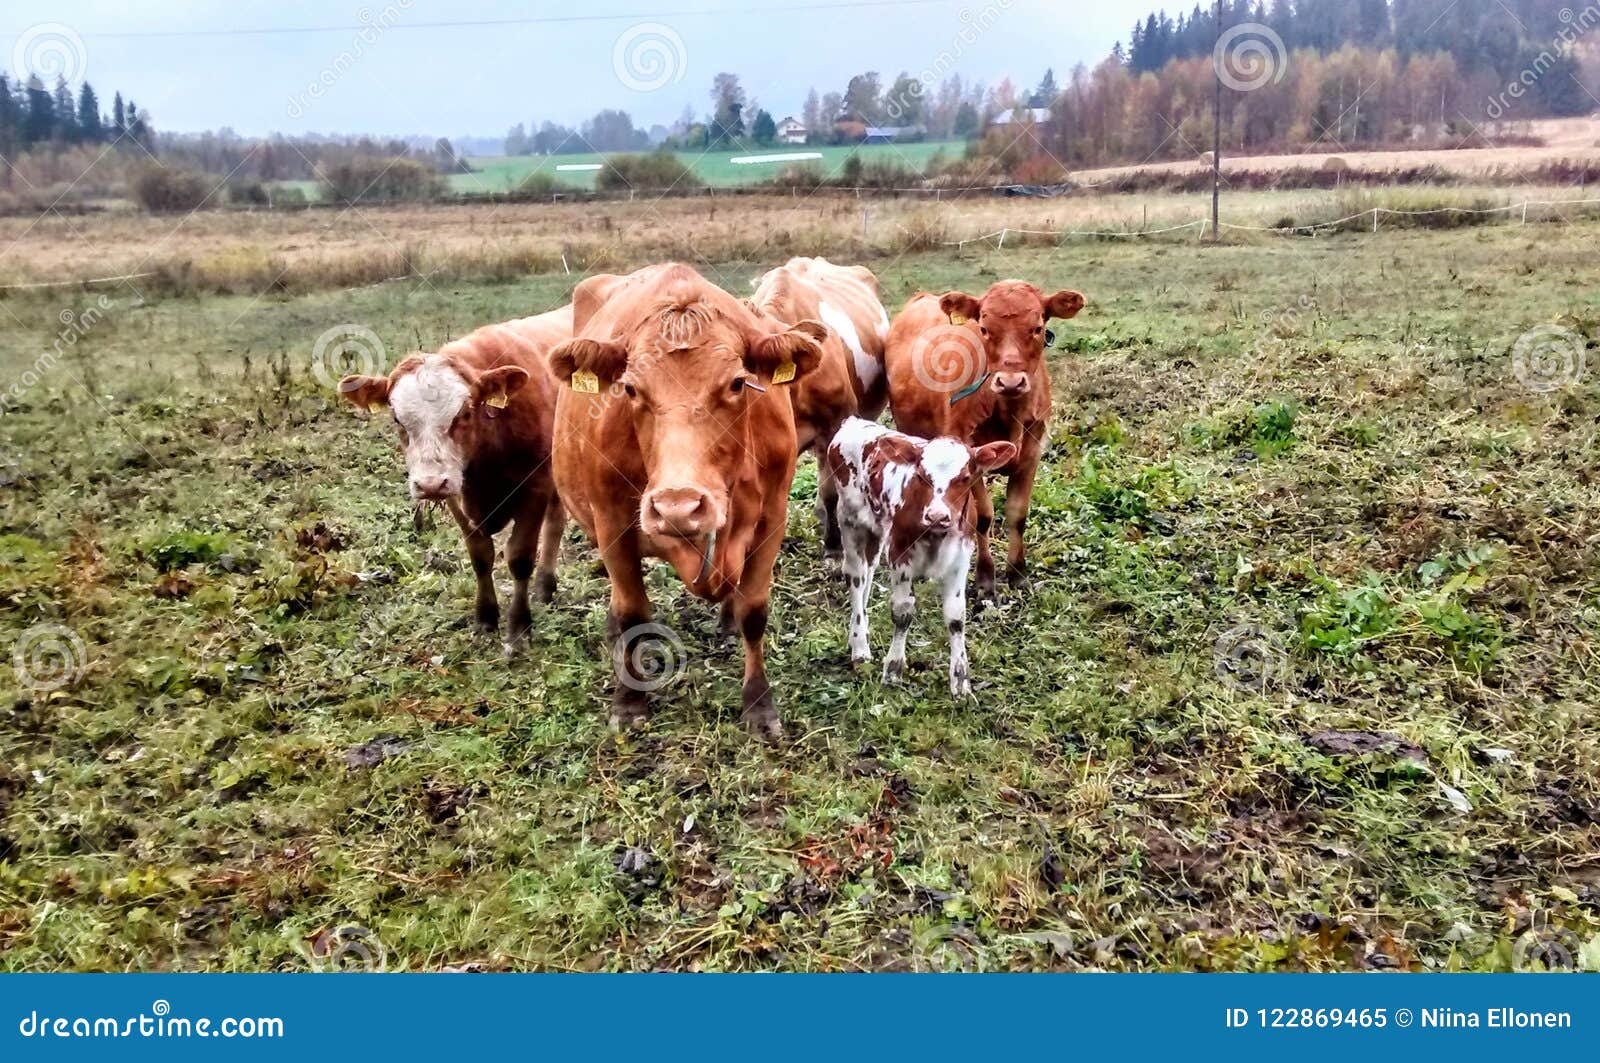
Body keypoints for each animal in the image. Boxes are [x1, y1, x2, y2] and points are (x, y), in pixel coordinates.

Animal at [337, 305, 572, 652]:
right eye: (397, 419)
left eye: (464, 413)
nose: (429, 484)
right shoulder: (455, 496)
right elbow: (480, 556)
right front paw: (485, 619)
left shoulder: (535, 488)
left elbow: (519, 558)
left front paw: (519, 628)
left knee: (555, 523)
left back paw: (544, 585)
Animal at [547, 263, 827, 738]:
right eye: (630, 389)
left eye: (737, 383)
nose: (678, 506)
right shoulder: (612, 523)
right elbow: (633, 611)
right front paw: (629, 702)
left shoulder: (773, 518)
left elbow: (755, 611)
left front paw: (759, 705)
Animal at [826, 417, 1015, 695]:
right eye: (922, 476)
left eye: (965, 477)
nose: (937, 515)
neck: (936, 535)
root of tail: (854, 421)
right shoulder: (900, 554)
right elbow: (903, 612)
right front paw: (893, 670)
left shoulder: (960, 558)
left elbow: (956, 617)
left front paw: (961, 681)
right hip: (849, 522)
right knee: (856, 579)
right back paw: (860, 647)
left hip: (876, 533)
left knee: (868, 575)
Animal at [884, 281, 1084, 601]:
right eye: (984, 328)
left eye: (1038, 327)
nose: (1011, 381)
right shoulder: (969, 458)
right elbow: (983, 516)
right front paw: (985, 578)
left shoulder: (1031, 454)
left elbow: (1017, 514)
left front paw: (1017, 573)